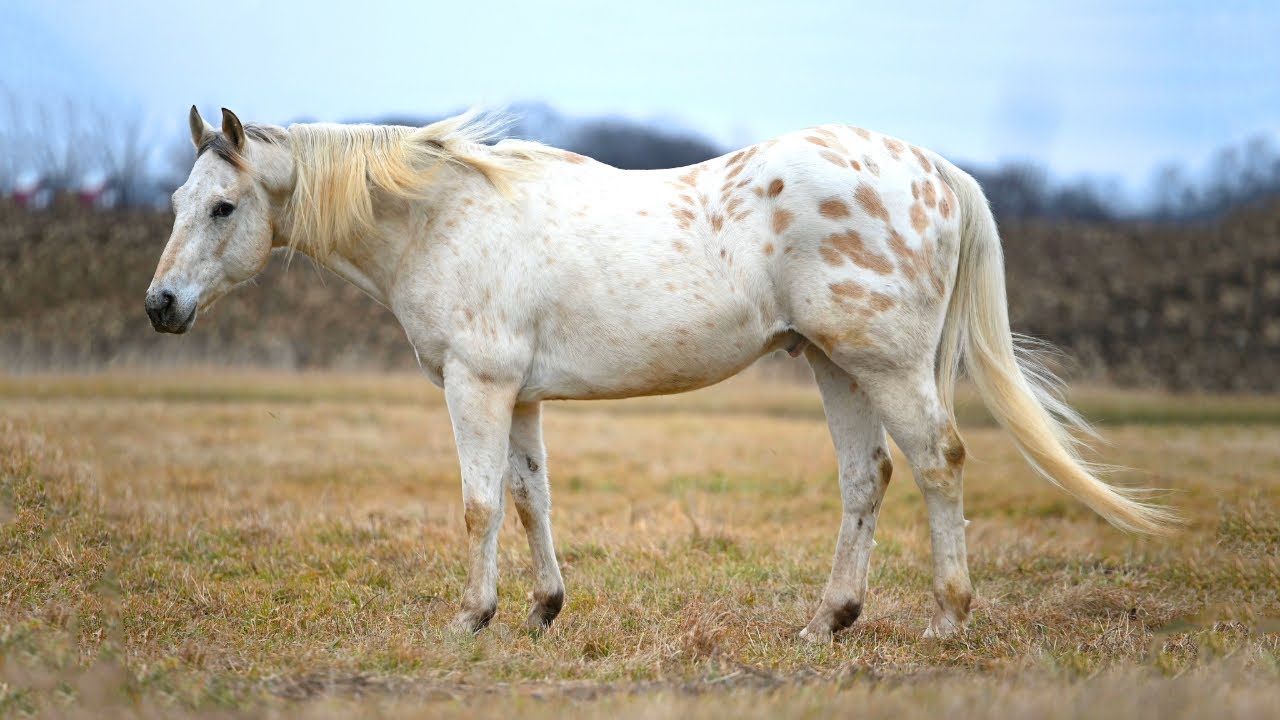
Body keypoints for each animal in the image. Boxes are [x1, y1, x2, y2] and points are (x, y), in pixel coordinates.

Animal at [147, 106, 1174, 641]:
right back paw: (828, 620)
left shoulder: (476, 386)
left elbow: (478, 505)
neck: (442, 218)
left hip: (884, 366)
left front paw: (472, 618)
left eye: (225, 206)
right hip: (836, 366)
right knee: (867, 477)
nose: (161, 305)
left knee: (937, 463)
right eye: (180, 199)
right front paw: (544, 610)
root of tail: (935, 171)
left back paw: (948, 620)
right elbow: (530, 498)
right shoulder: (519, 394)